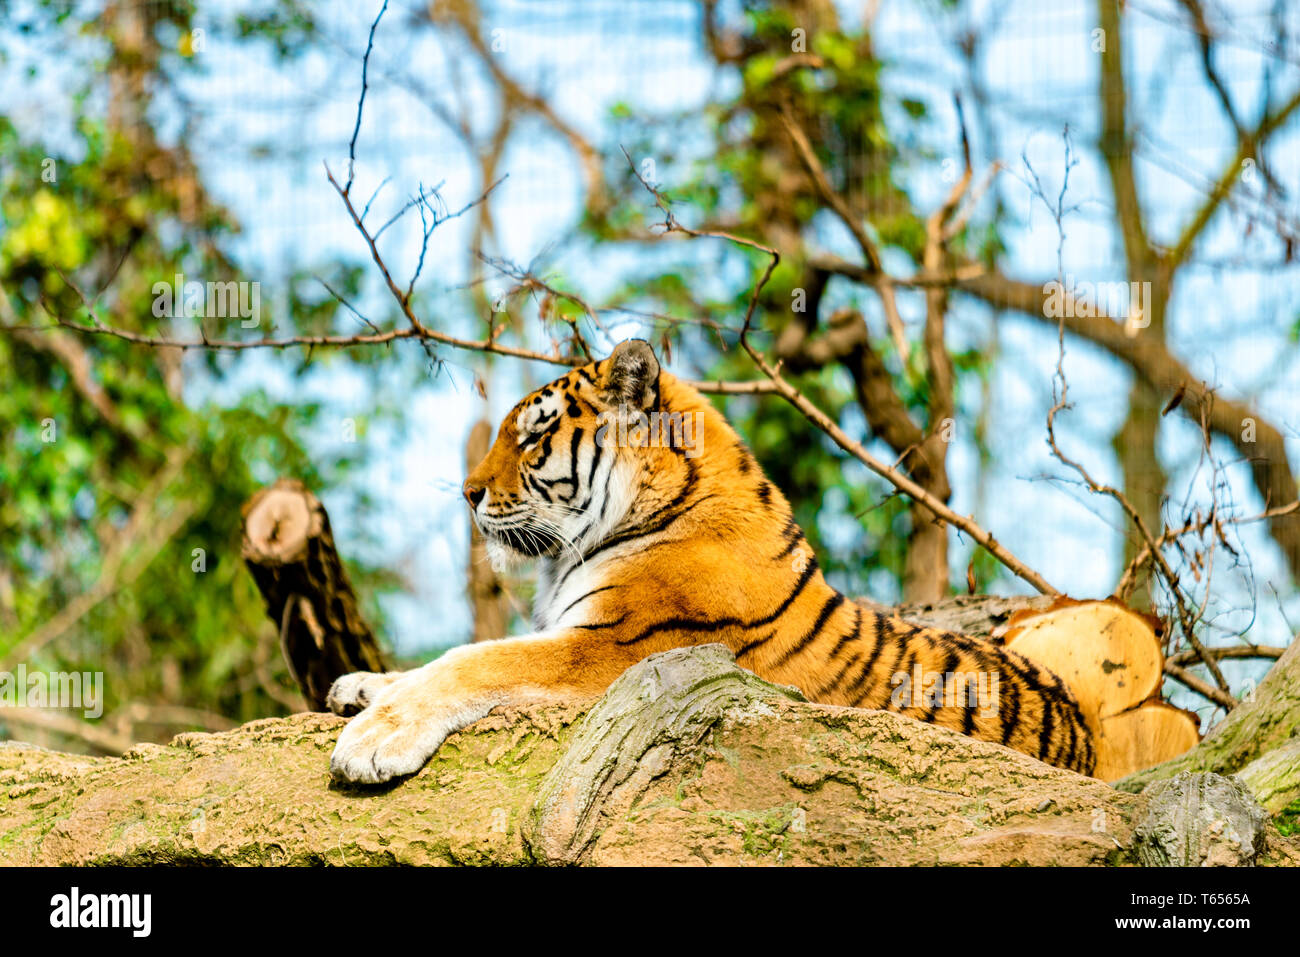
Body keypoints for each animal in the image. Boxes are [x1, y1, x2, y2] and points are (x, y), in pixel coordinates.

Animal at [326, 338, 1096, 783]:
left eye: (535, 436)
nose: (466, 491)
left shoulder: (609, 649)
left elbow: (474, 660)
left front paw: (373, 739)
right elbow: (442, 660)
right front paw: (360, 685)